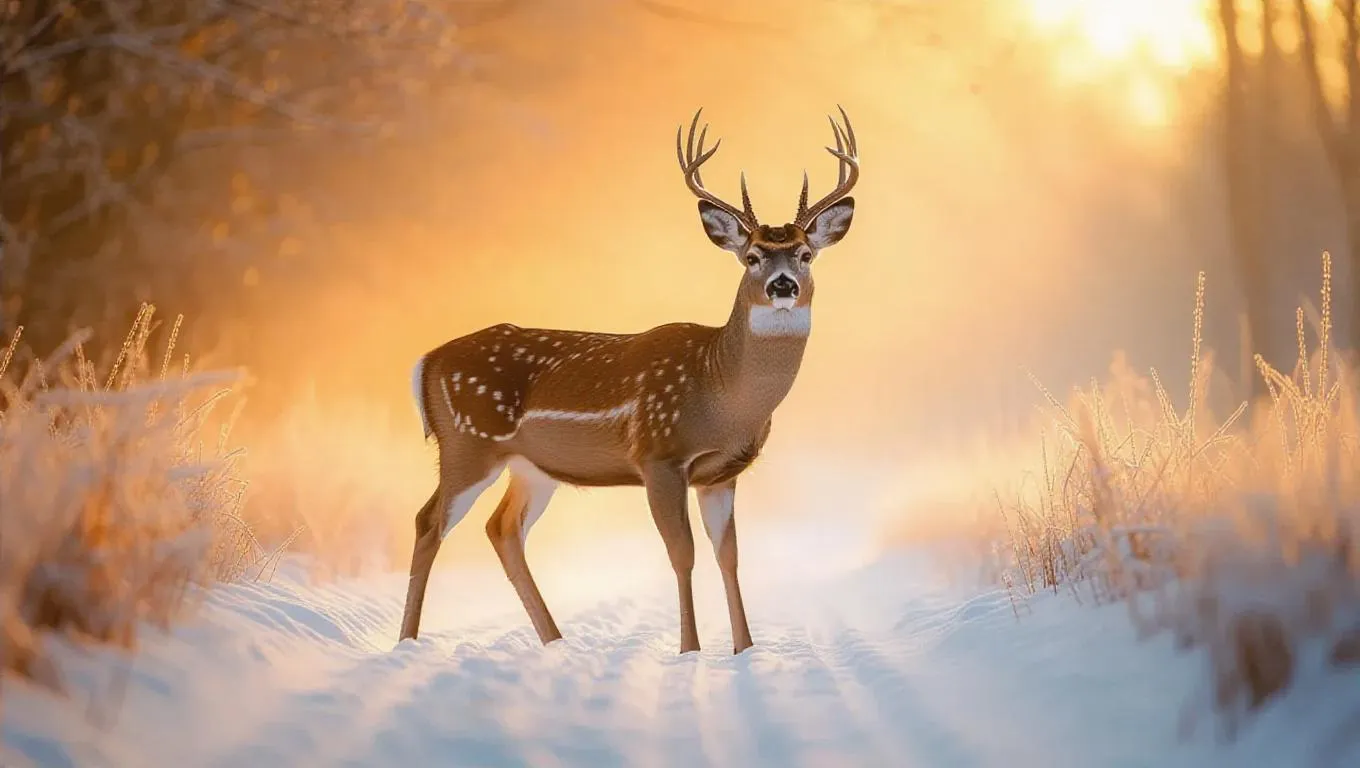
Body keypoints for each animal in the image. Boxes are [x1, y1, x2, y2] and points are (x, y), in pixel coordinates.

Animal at [401, 107, 859, 655]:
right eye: (751, 257)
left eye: (806, 254)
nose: (783, 285)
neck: (724, 394)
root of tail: (426, 361)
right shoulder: (659, 455)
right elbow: (682, 553)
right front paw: (690, 650)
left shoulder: (720, 474)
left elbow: (728, 555)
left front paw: (745, 649)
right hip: (468, 442)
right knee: (429, 521)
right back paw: (407, 642)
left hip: (530, 466)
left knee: (502, 527)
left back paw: (555, 641)